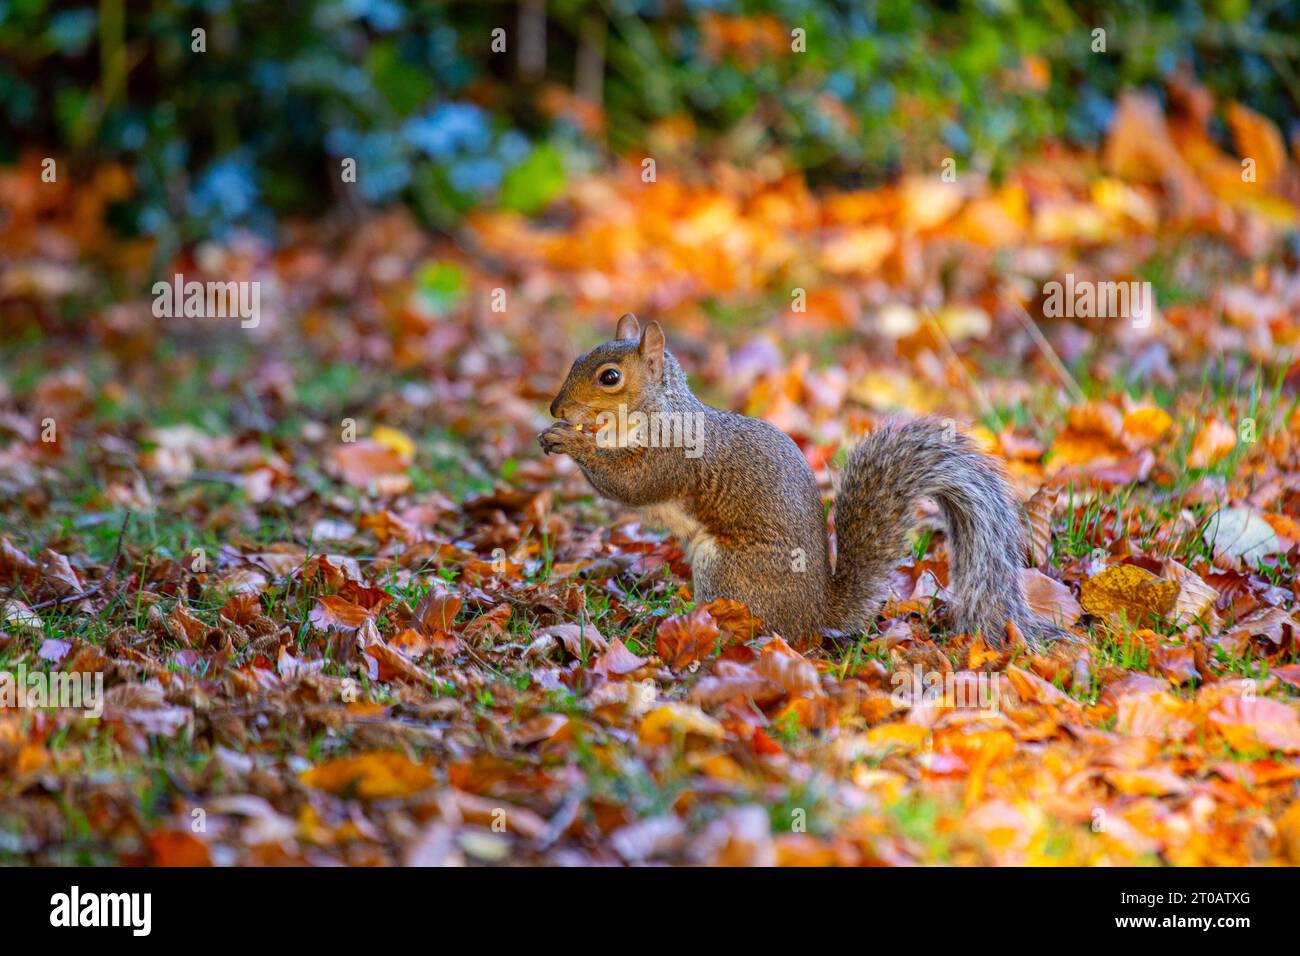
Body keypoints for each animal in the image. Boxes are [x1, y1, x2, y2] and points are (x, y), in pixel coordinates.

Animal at [539, 313, 1064, 648]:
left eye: (609, 377)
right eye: (579, 359)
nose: (555, 408)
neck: (655, 412)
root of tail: (817, 614)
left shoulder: (674, 456)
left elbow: (630, 483)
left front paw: (570, 442)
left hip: (728, 570)